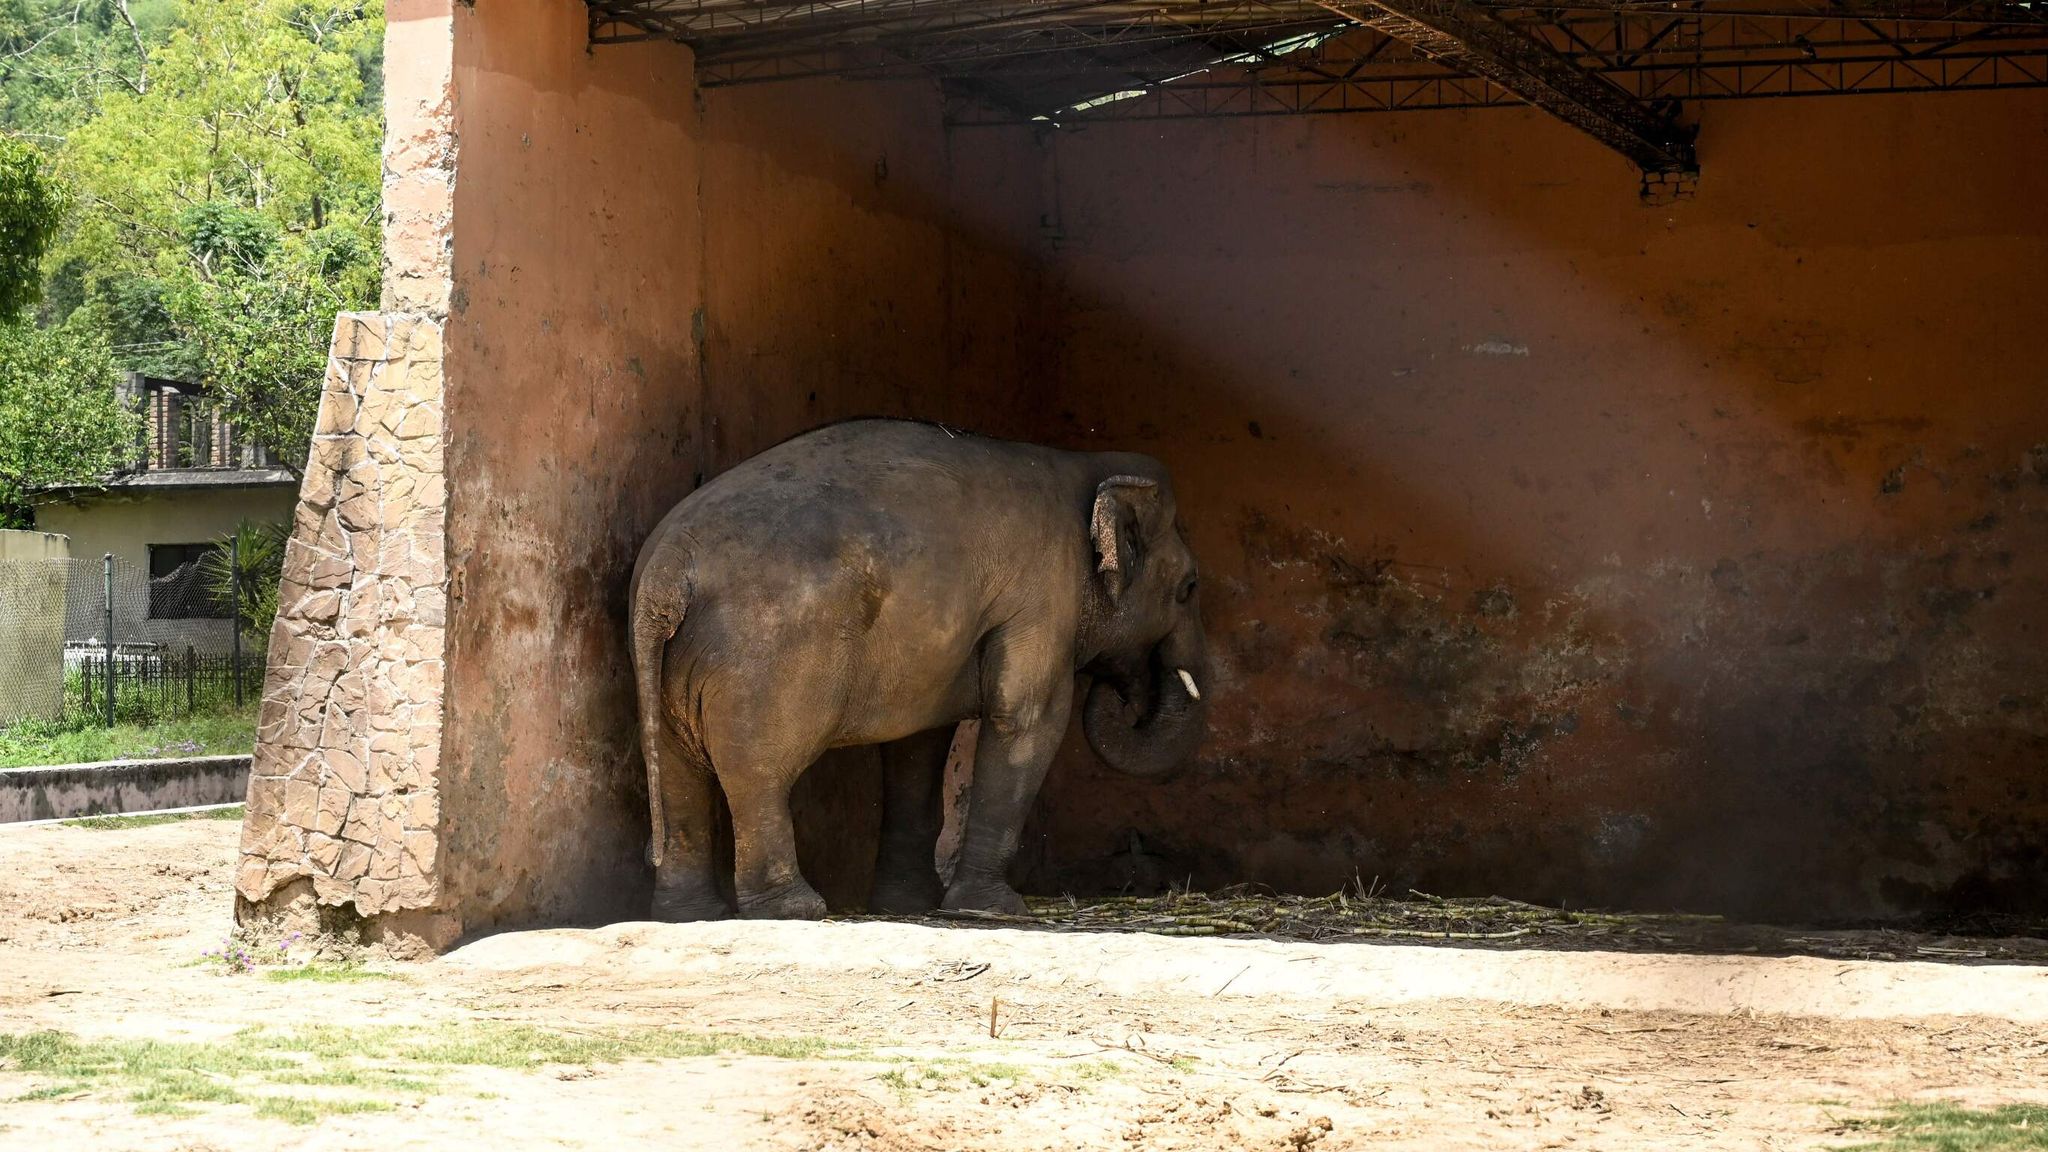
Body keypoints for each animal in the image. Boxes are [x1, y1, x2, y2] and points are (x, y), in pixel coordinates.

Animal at [628, 418, 1209, 920]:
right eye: (1189, 588)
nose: (1125, 693)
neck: (1088, 470)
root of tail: (667, 568)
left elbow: (919, 743)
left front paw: (911, 904)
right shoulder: (1043, 596)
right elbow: (1027, 716)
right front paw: (992, 911)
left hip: (666, 665)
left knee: (677, 772)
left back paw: (689, 916)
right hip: (761, 662)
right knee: (759, 771)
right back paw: (796, 910)